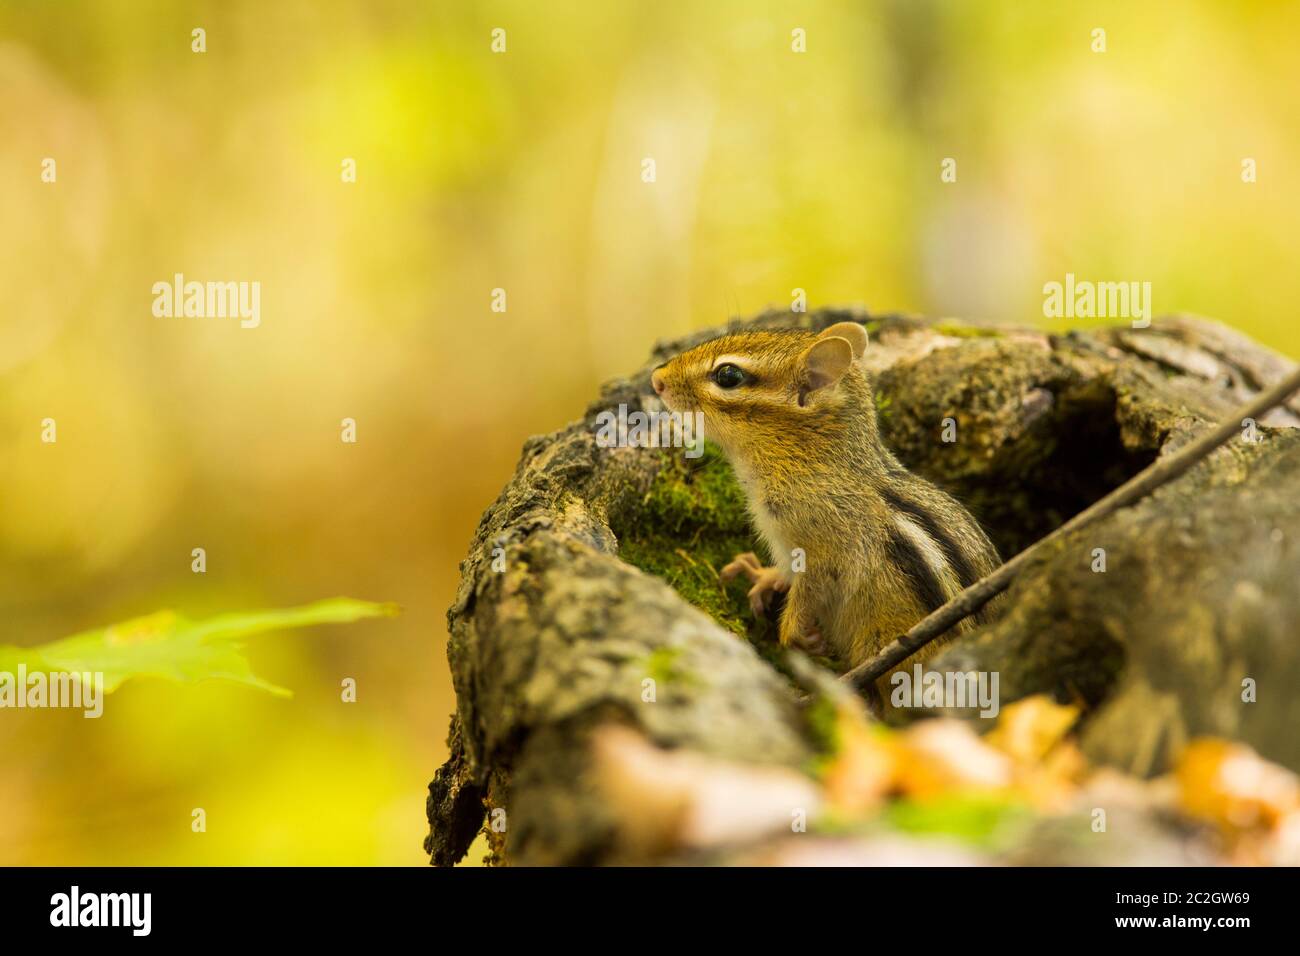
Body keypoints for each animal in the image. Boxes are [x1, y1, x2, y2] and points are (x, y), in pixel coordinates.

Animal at [650, 320, 1003, 692]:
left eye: (728, 375)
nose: (657, 378)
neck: (815, 460)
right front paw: (761, 575)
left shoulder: (831, 546)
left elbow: (813, 586)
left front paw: (794, 632)